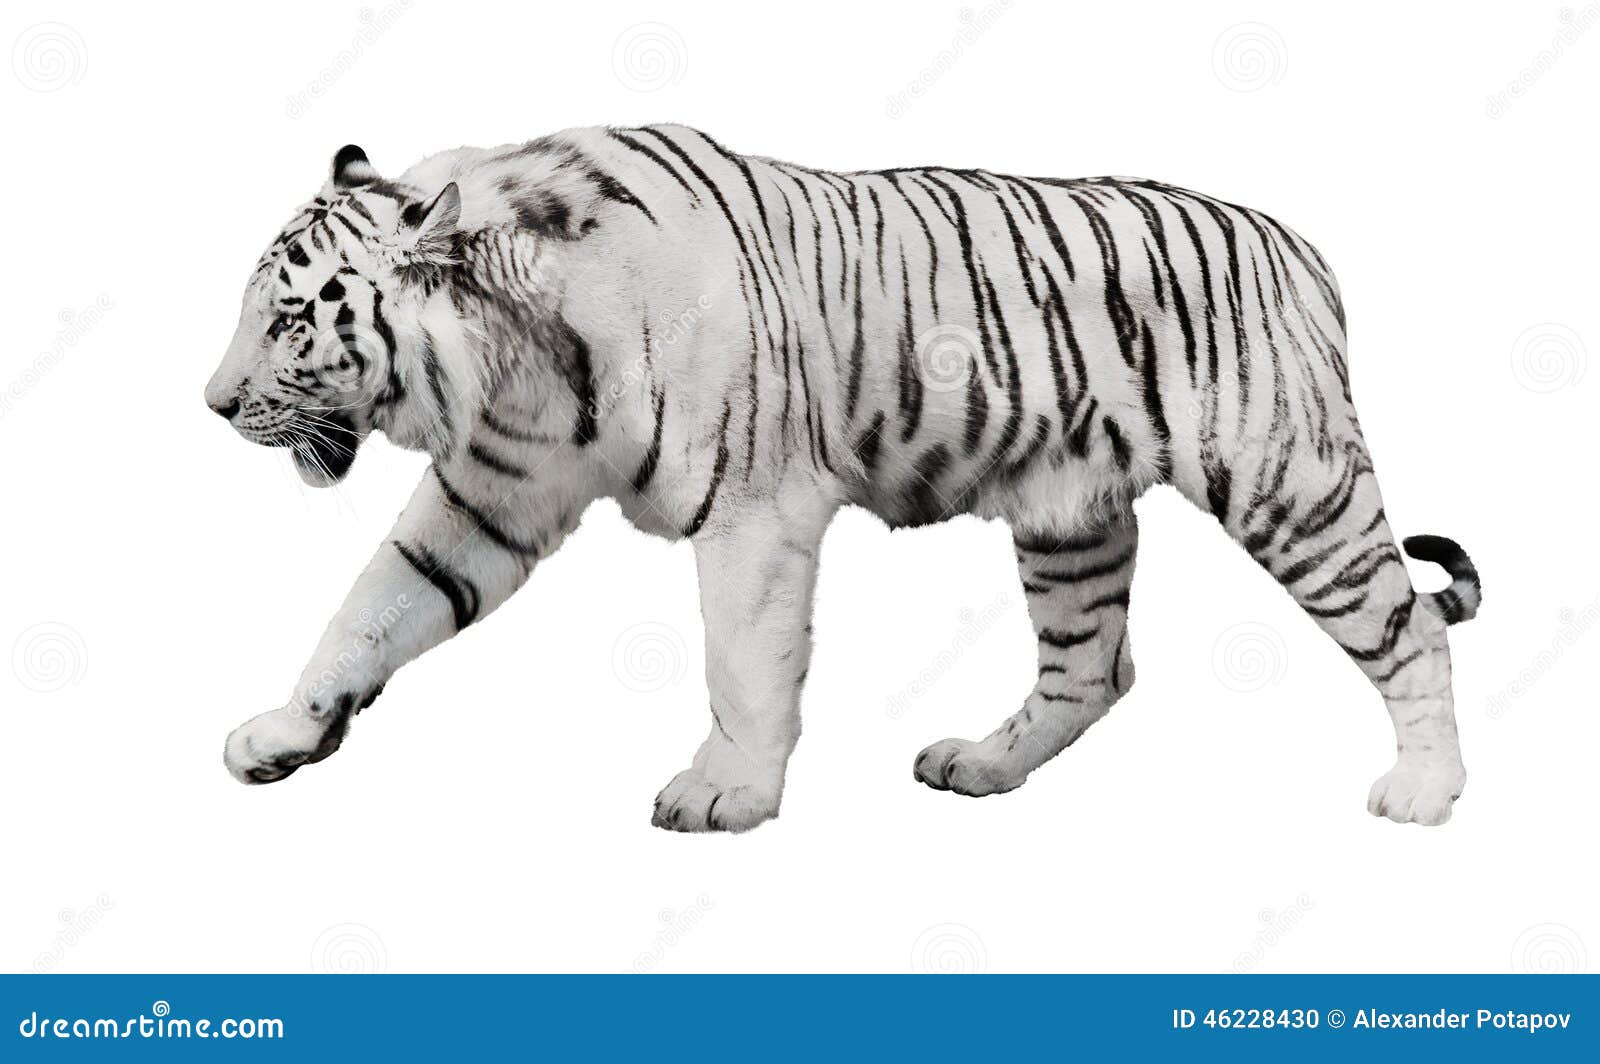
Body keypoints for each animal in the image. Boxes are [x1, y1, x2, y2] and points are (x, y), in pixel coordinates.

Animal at [207, 124, 1481, 831]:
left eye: (288, 319)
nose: (213, 404)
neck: (512, 356)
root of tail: (1300, 246)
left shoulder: (752, 508)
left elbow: (740, 662)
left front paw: (725, 793)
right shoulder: (490, 492)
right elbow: (375, 605)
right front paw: (283, 730)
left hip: (1293, 484)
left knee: (1408, 622)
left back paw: (1423, 789)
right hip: (1069, 516)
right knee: (1095, 666)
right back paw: (981, 765)